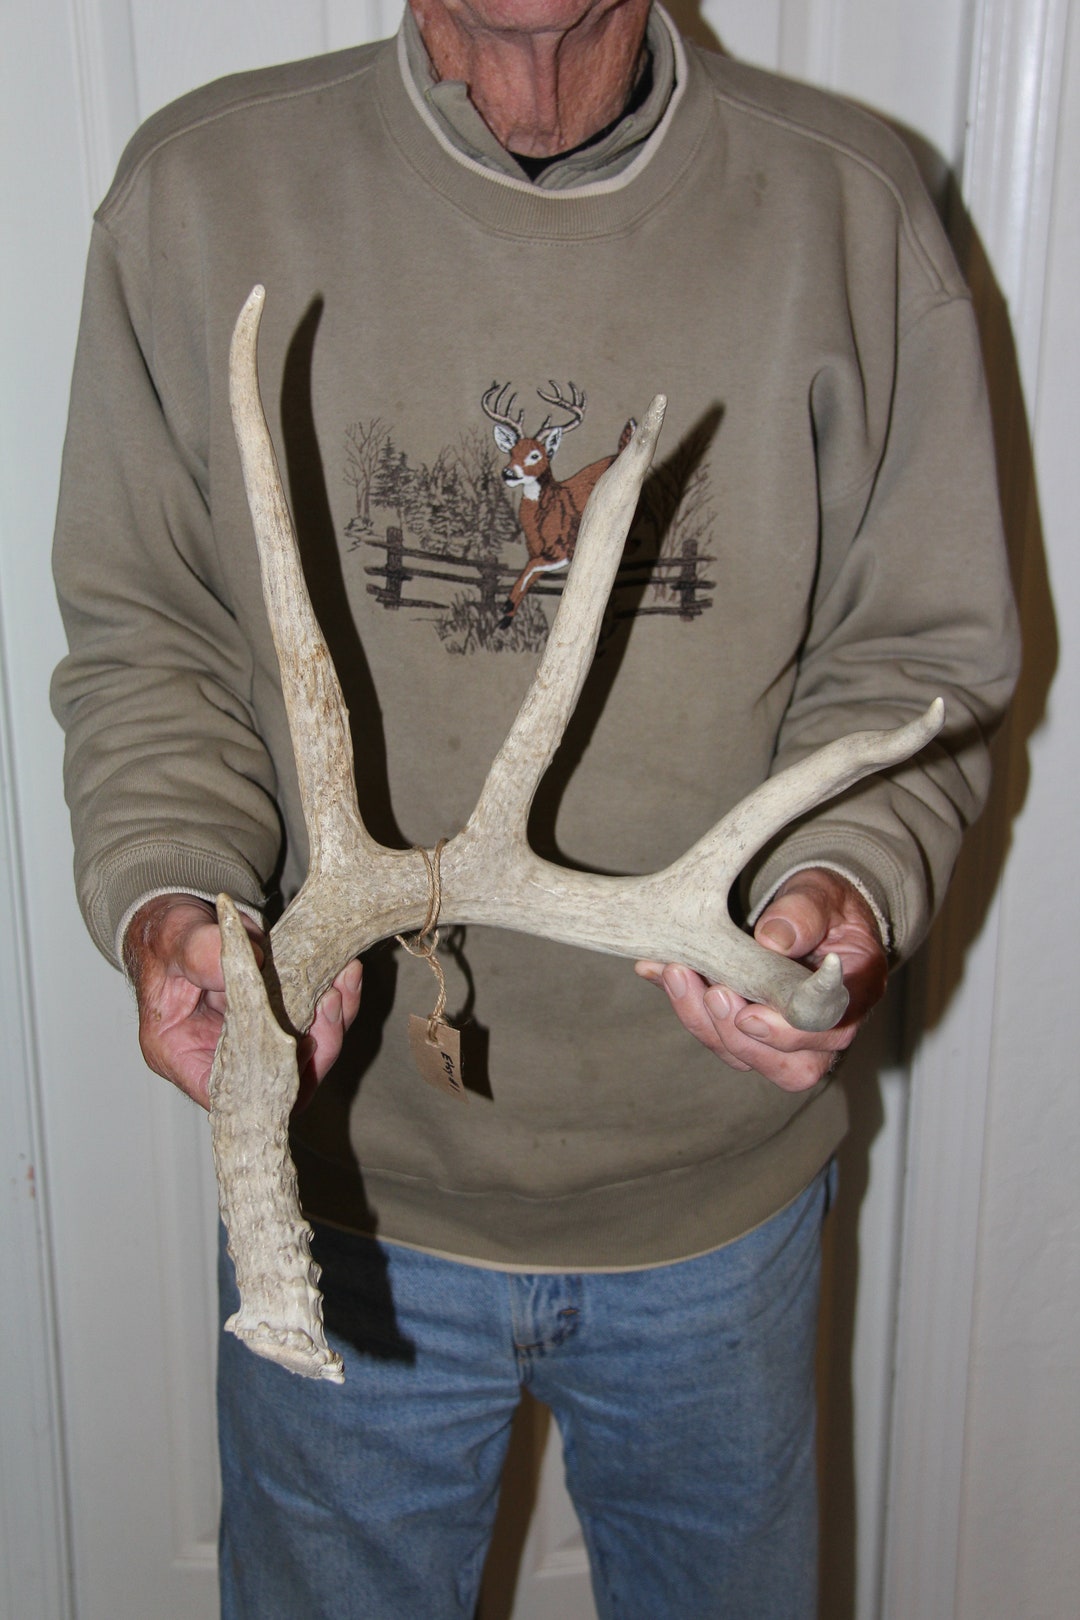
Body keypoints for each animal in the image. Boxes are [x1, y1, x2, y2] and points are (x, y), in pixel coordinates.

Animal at [482, 380, 636, 627]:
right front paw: (506, 615)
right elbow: (527, 575)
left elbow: (528, 571)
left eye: (535, 455)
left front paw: (506, 608)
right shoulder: (535, 553)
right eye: (512, 452)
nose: (508, 473)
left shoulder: (563, 550)